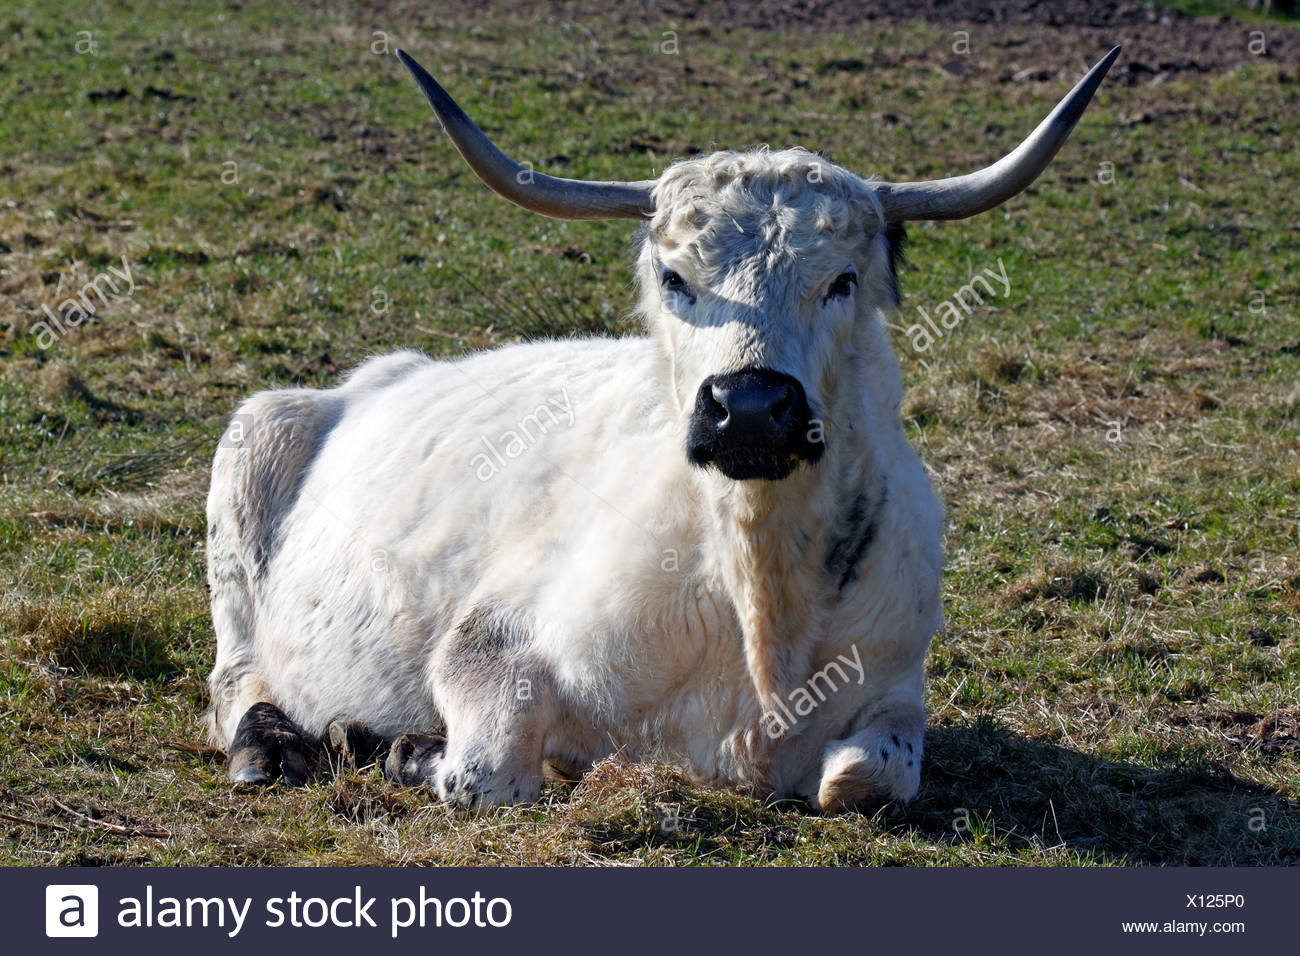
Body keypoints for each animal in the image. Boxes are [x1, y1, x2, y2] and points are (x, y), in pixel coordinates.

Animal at [204, 46, 1120, 811]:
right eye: (676, 278)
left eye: (842, 281)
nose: (749, 407)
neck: (760, 601)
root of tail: (376, 375)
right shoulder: (487, 642)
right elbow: (486, 774)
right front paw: (413, 751)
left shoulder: (897, 692)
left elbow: (868, 775)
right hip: (247, 460)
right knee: (237, 677)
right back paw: (276, 747)